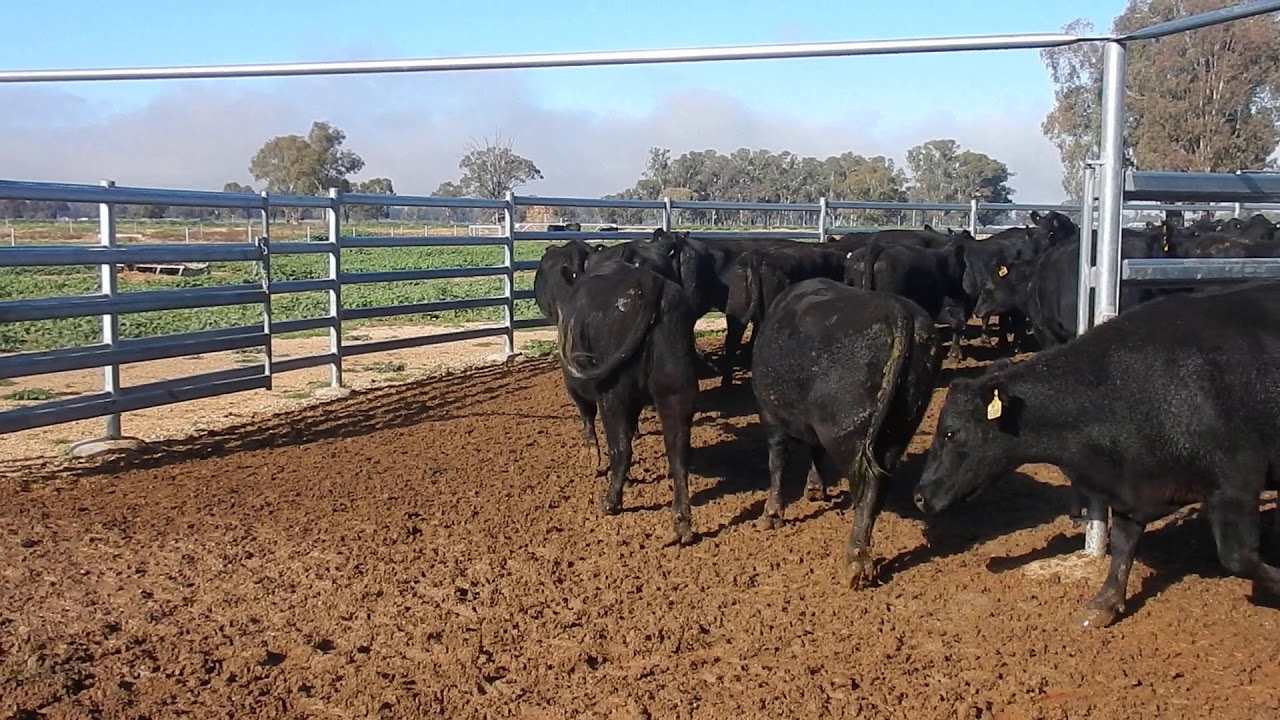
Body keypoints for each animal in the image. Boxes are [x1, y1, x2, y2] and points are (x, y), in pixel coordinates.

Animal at [555, 258, 700, 546]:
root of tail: (647, 282)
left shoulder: (576, 386)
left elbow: (587, 417)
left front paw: (590, 455)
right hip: (676, 391)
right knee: (678, 454)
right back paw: (681, 523)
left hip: (613, 394)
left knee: (621, 448)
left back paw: (611, 502)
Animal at [752, 278, 943, 588]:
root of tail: (898, 310)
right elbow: (814, 452)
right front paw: (815, 490)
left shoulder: (770, 415)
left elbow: (777, 463)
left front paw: (771, 516)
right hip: (899, 427)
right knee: (879, 483)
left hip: (846, 432)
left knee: (867, 486)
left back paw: (857, 563)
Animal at [913, 281, 1280, 627]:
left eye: (950, 432)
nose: (919, 496)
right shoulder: (1130, 489)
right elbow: (1122, 545)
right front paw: (1104, 604)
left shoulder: (1235, 482)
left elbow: (1238, 557)